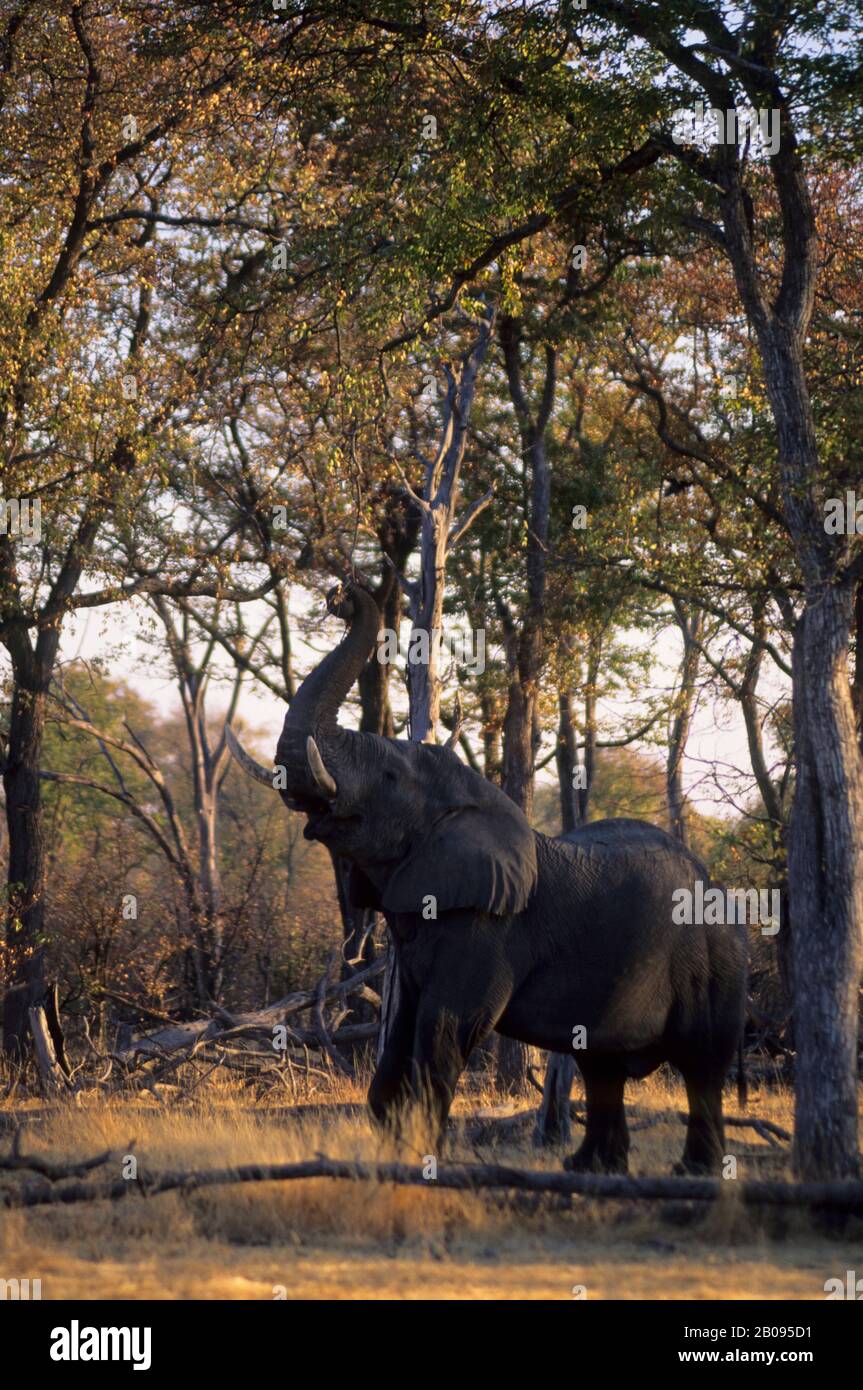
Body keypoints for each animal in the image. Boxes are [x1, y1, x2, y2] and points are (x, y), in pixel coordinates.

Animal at [228, 580, 748, 1174]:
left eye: (388, 776)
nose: (340, 594)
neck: (469, 798)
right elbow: (401, 1026)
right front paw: (394, 1151)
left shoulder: (488, 928)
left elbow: (447, 1025)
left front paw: (423, 1161)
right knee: (602, 1066)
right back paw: (588, 1169)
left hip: (713, 961)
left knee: (702, 1063)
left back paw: (691, 1172)